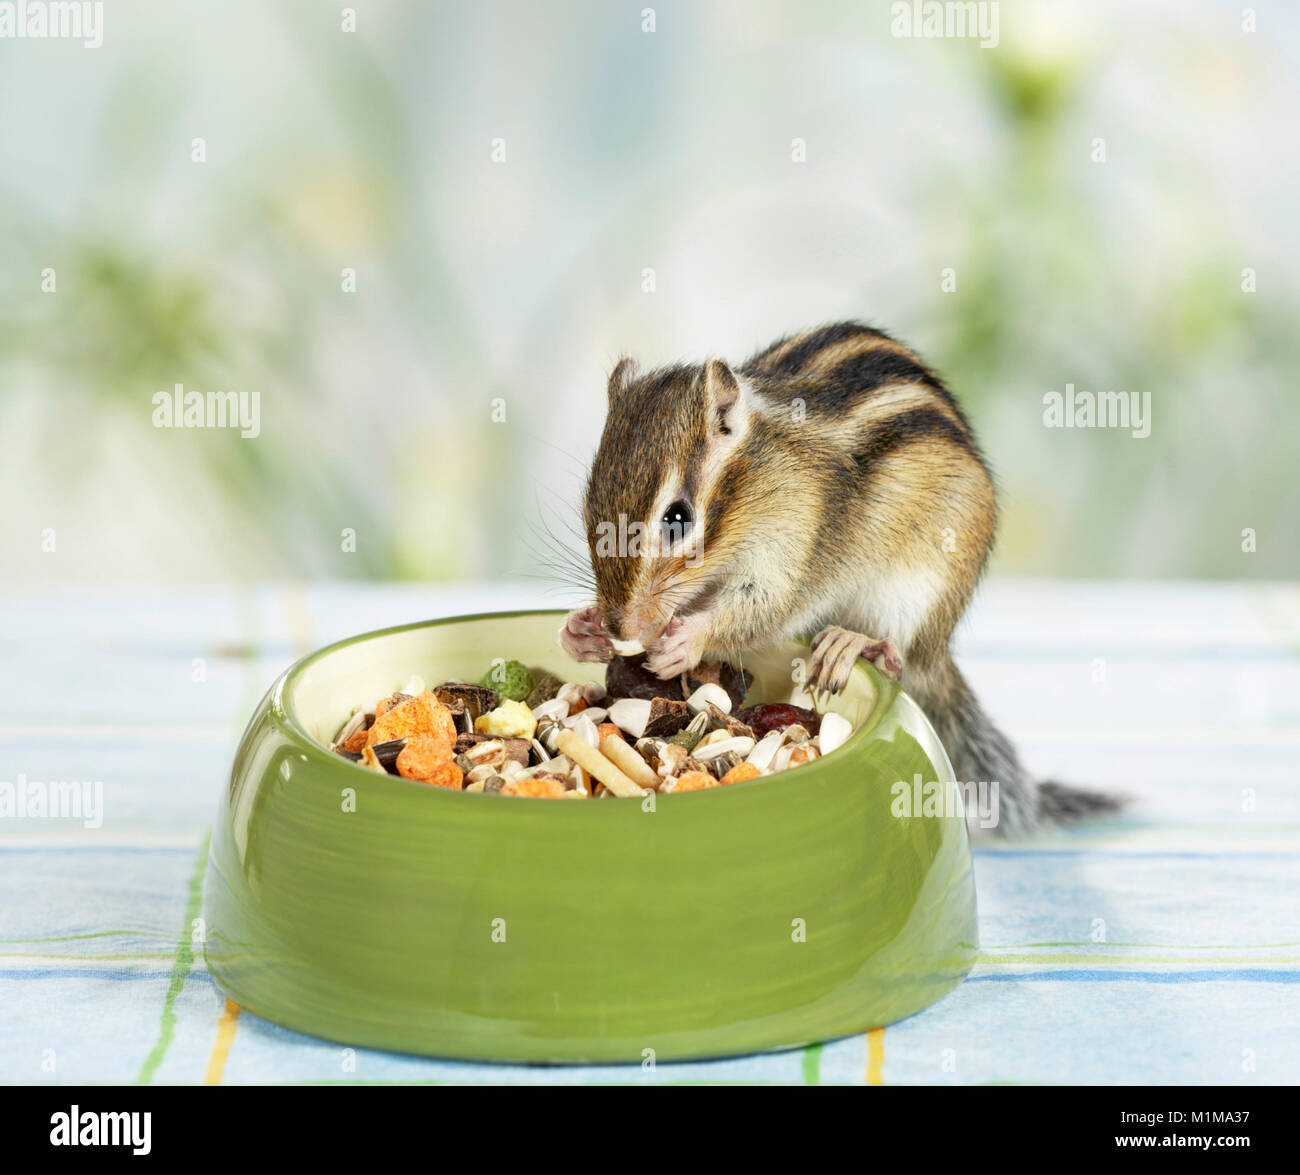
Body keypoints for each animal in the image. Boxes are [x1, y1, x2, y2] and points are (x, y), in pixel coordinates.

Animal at [559, 321, 1120, 835]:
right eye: (588, 506)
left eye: (678, 519)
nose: (623, 628)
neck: (758, 474)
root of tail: (941, 652)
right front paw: (580, 630)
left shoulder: (793, 546)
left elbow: (765, 608)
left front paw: (686, 640)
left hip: (921, 591)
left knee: (898, 653)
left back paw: (850, 643)